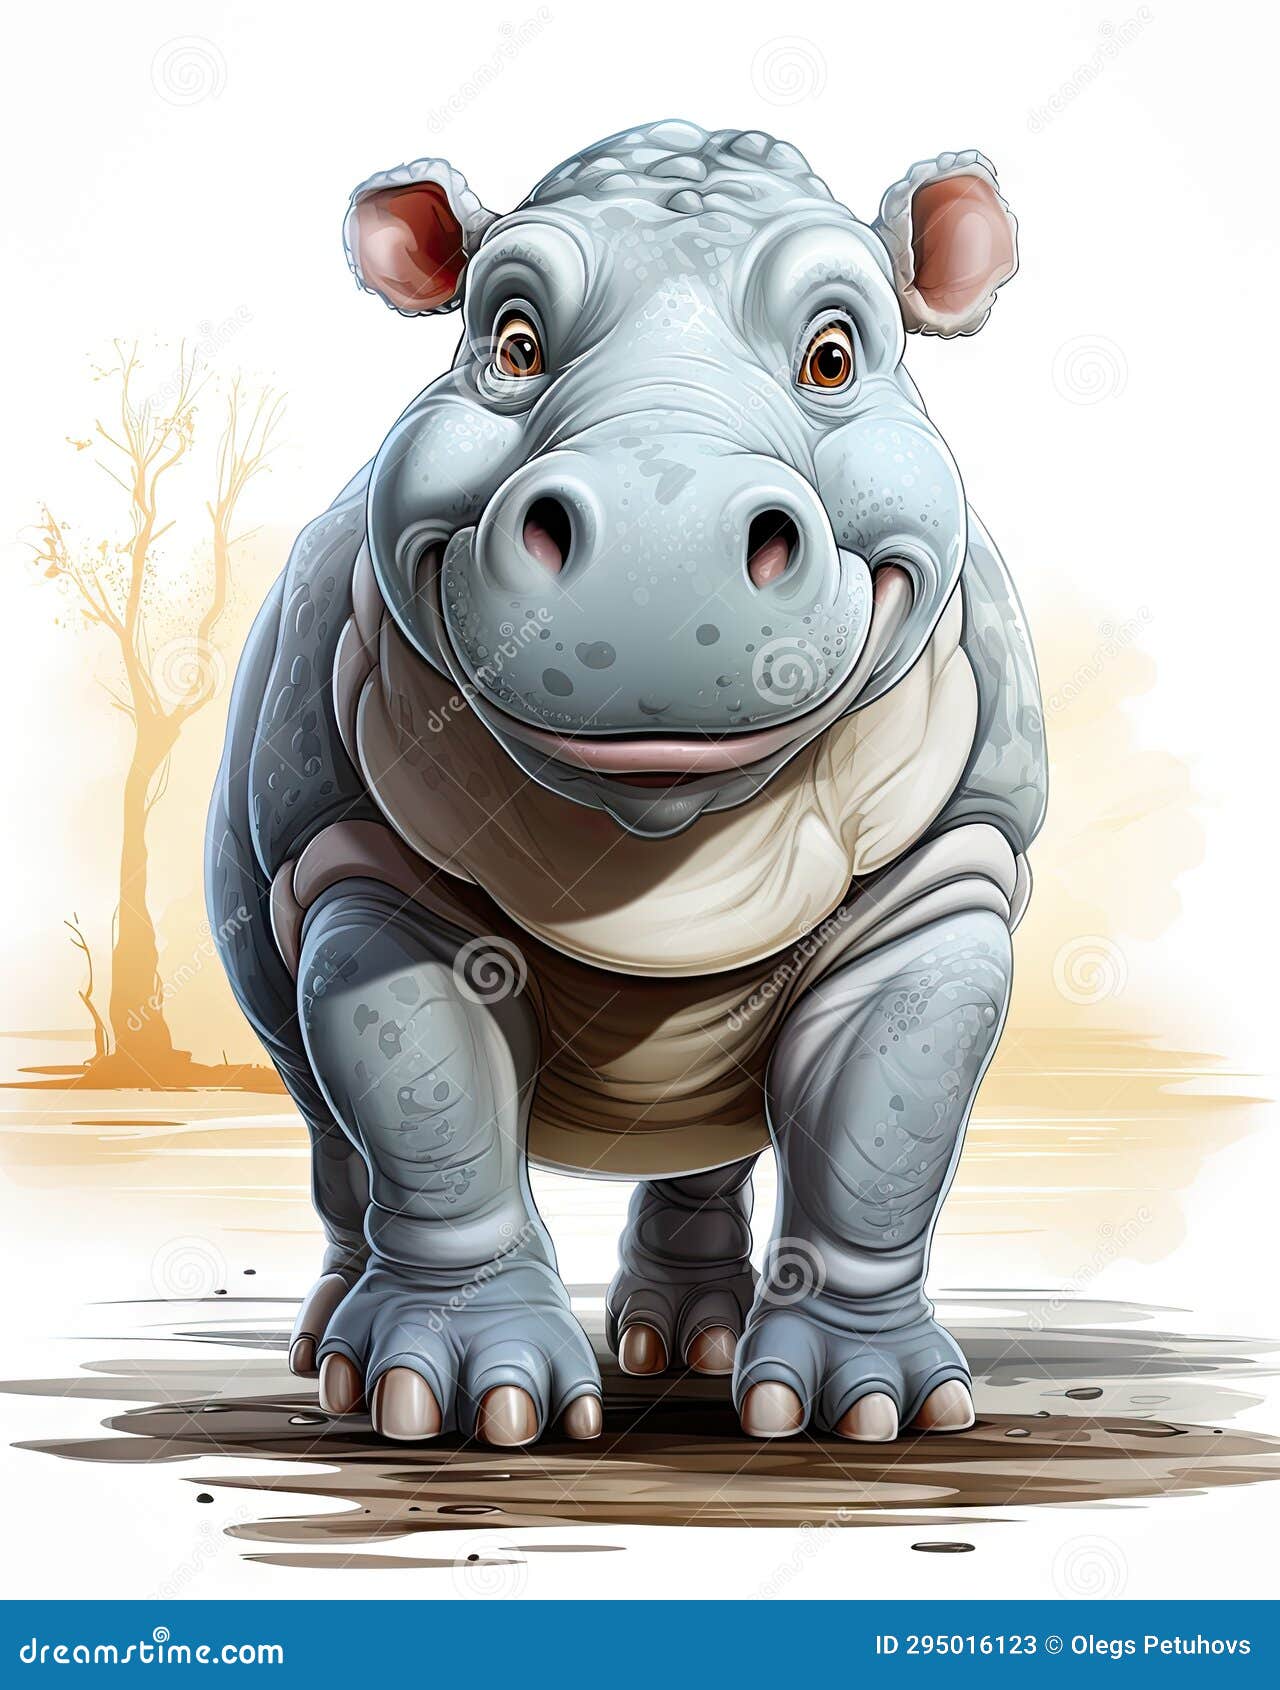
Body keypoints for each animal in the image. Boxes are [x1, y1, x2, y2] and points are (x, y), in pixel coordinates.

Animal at [208, 120, 1045, 1448]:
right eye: (507, 343)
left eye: (834, 356)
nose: (662, 534)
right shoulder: (362, 865)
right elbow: (427, 1101)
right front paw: (458, 1400)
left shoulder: (945, 874)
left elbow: (881, 1122)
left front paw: (874, 1408)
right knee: (317, 1104)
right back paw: (326, 1357)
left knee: (706, 1120)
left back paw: (690, 1347)